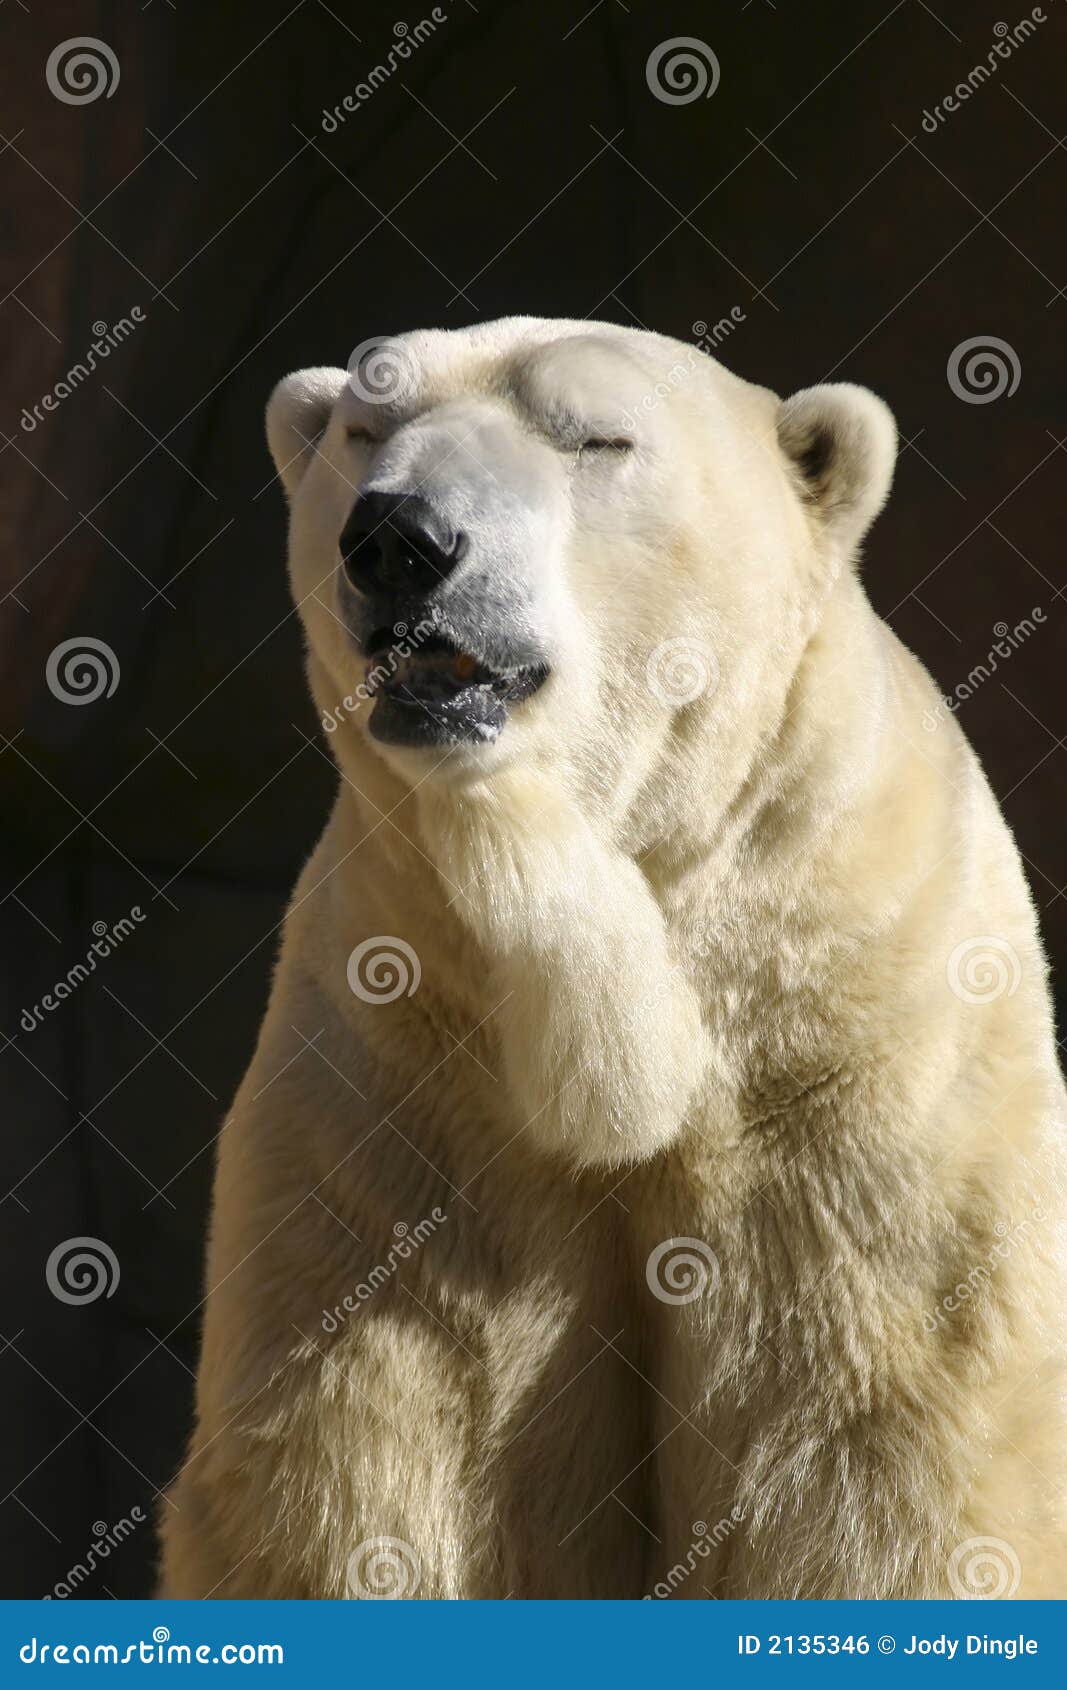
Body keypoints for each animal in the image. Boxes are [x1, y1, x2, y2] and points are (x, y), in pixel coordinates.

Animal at [159, 317, 1066, 1600]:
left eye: (594, 437)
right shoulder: (411, 1081)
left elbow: (876, 1449)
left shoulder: (846, 1069)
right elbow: (387, 1458)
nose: (398, 538)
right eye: (365, 426)